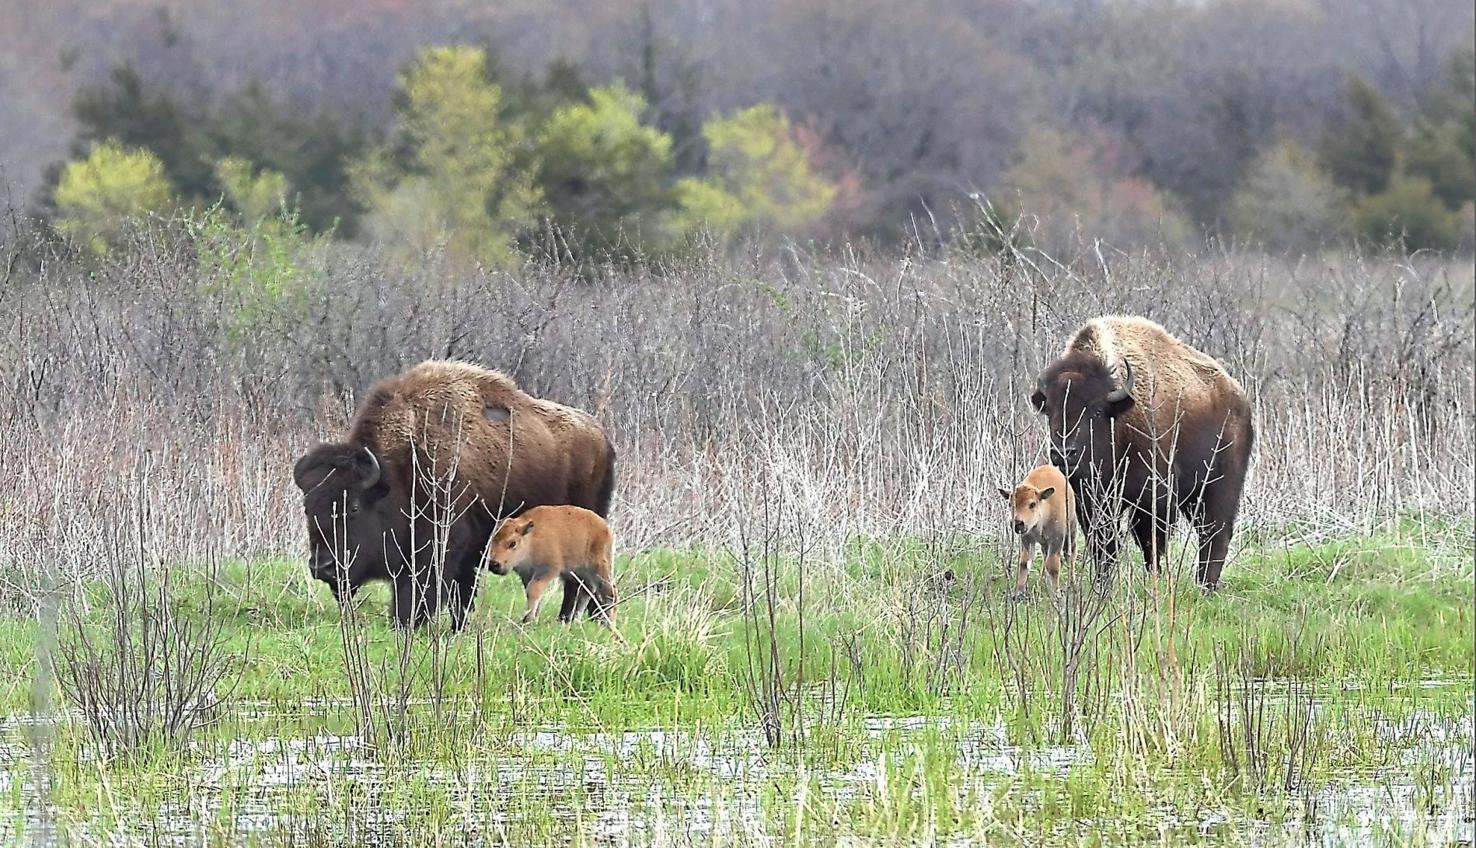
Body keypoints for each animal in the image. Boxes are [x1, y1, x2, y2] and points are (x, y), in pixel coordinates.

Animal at [292, 360, 616, 628]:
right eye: (307, 508)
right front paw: (458, 627)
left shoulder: (440, 545)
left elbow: (422, 589)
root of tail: (602, 437)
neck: (401, 471)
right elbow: (462, 592)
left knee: (581, 580)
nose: (322, 566)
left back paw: (570, 619)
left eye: (355, 506)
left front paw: (406, 623)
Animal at [1031, 316, 1254, 588]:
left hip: (1219, 485)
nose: (1064, 452)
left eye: (1095, 411)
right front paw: (1102, 586)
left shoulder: (1153, 498)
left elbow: (1151, 544)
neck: (1119, 417)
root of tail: (1240, 399)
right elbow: (1103, 545)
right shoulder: (1091, 501)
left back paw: (1205, 587)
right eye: (1050, 412)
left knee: (1215, 533)